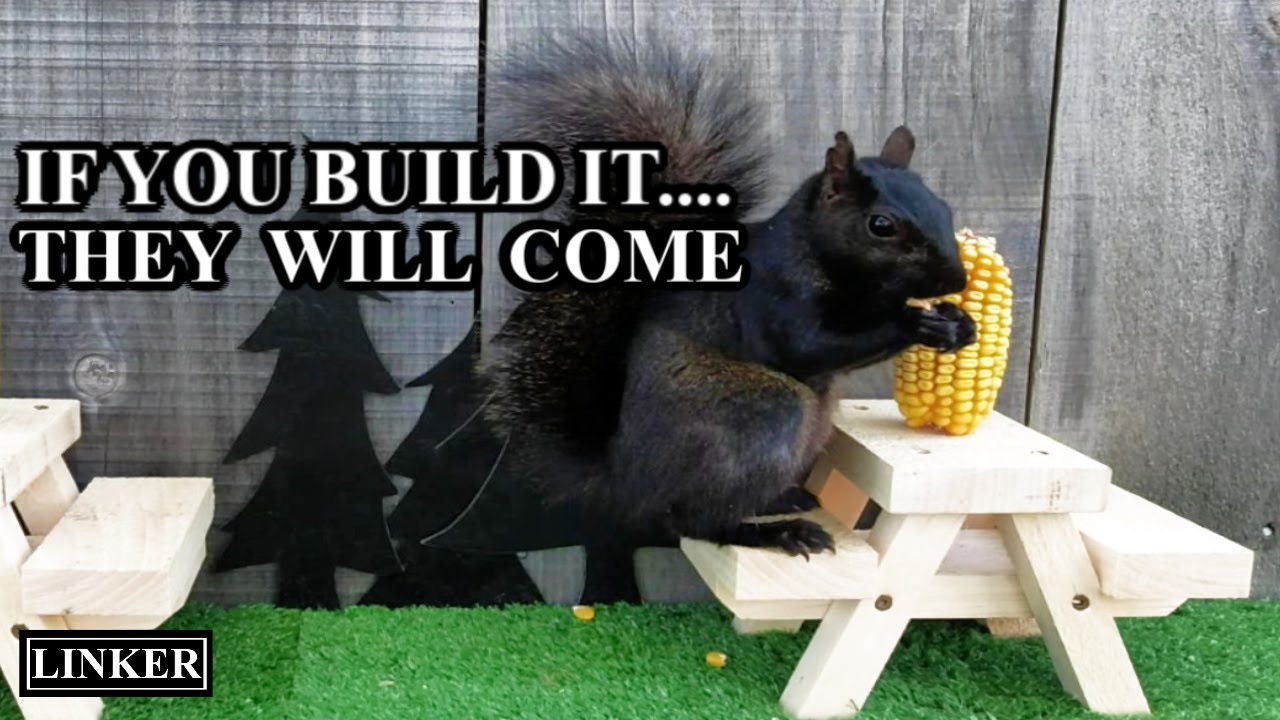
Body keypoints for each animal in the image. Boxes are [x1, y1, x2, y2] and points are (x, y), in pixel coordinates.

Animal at [435, 36, 976, 559]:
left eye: (943, 205)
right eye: (880, 226)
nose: (956, 279)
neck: (821, 256)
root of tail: (627, 485)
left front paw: (958, 325)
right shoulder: (774, 298)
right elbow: (811, 346)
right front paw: (915, 323)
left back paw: (784, 499)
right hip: (763, 415)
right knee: (698, 522)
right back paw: (777, 534)